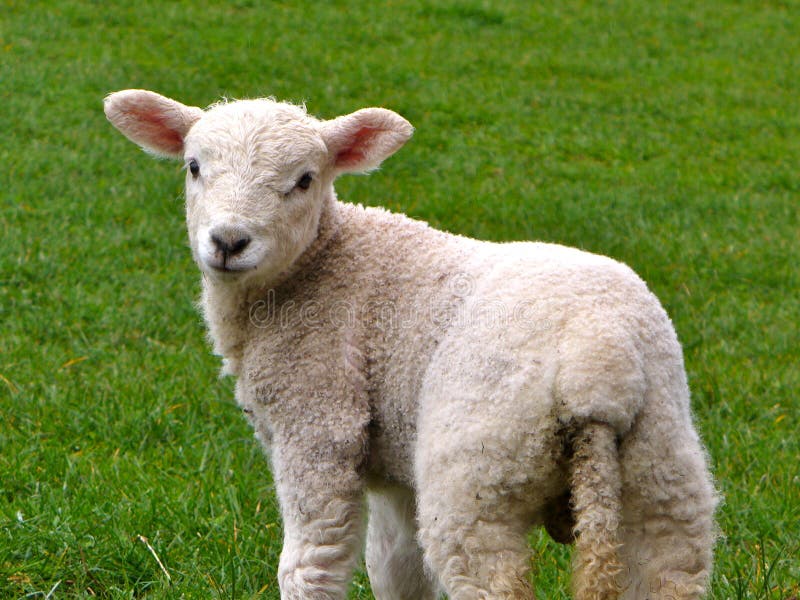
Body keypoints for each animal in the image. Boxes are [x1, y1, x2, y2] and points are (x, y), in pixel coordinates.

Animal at [104, 89, 718, 600]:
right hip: (664, 467)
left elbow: (310, 567)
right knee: (670, 568)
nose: (229, 242)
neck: (320, 265)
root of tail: (600, 361)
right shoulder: (395, 466)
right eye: (194, 167)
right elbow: (396, 569)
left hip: (476, 469)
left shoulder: (319, 419)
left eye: (304, 180)